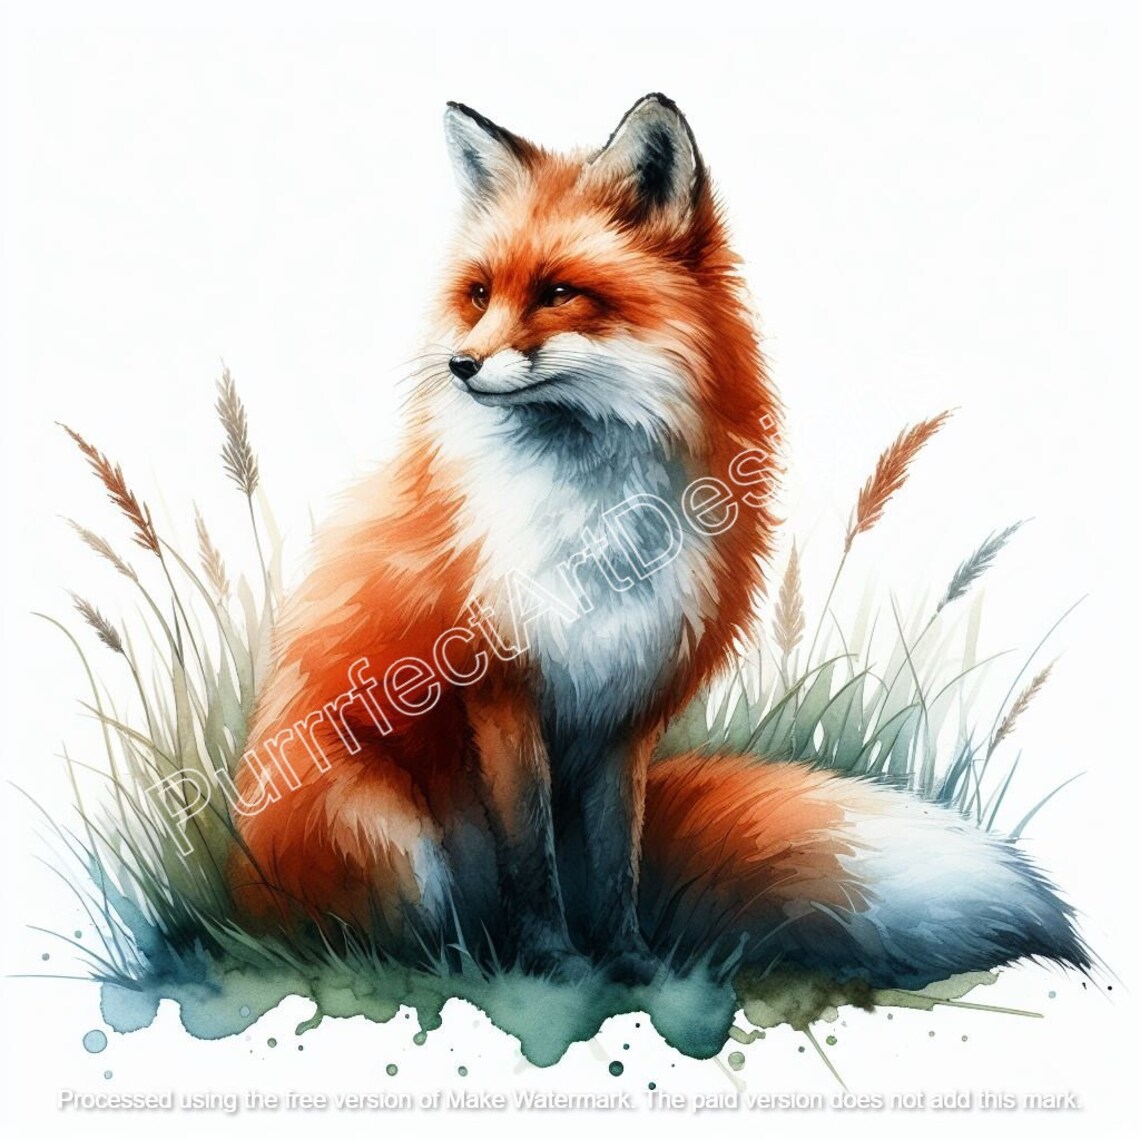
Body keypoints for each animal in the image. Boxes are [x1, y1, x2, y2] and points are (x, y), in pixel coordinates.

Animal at [227, 94, 1087, 988]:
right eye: (477, 293)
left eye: (558, 293)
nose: (460, 364)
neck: (599, 531)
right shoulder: (500, 688)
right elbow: (531, 856)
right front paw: (553, 963)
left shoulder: (626, 702)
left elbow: (616, 860)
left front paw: (630, 960)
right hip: (387, 837)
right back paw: (462, 957)